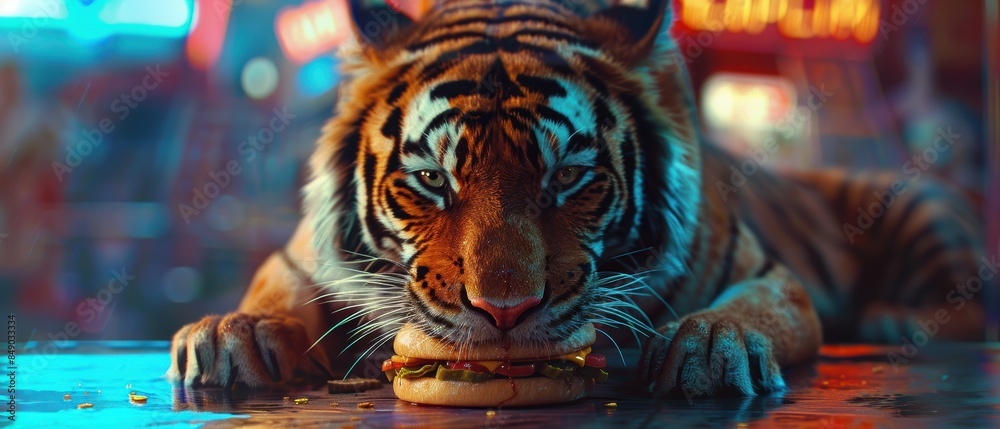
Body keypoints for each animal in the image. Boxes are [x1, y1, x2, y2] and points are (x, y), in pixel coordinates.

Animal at [167, 0, 986, 398]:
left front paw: (710, 345)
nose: (504, 313)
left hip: (920, 200)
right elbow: (275, 290)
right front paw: (232, 334)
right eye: (432, 180)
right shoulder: (302, 256)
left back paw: (894, 318)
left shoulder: (768, 272)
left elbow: (752, 310)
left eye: (567, 177)